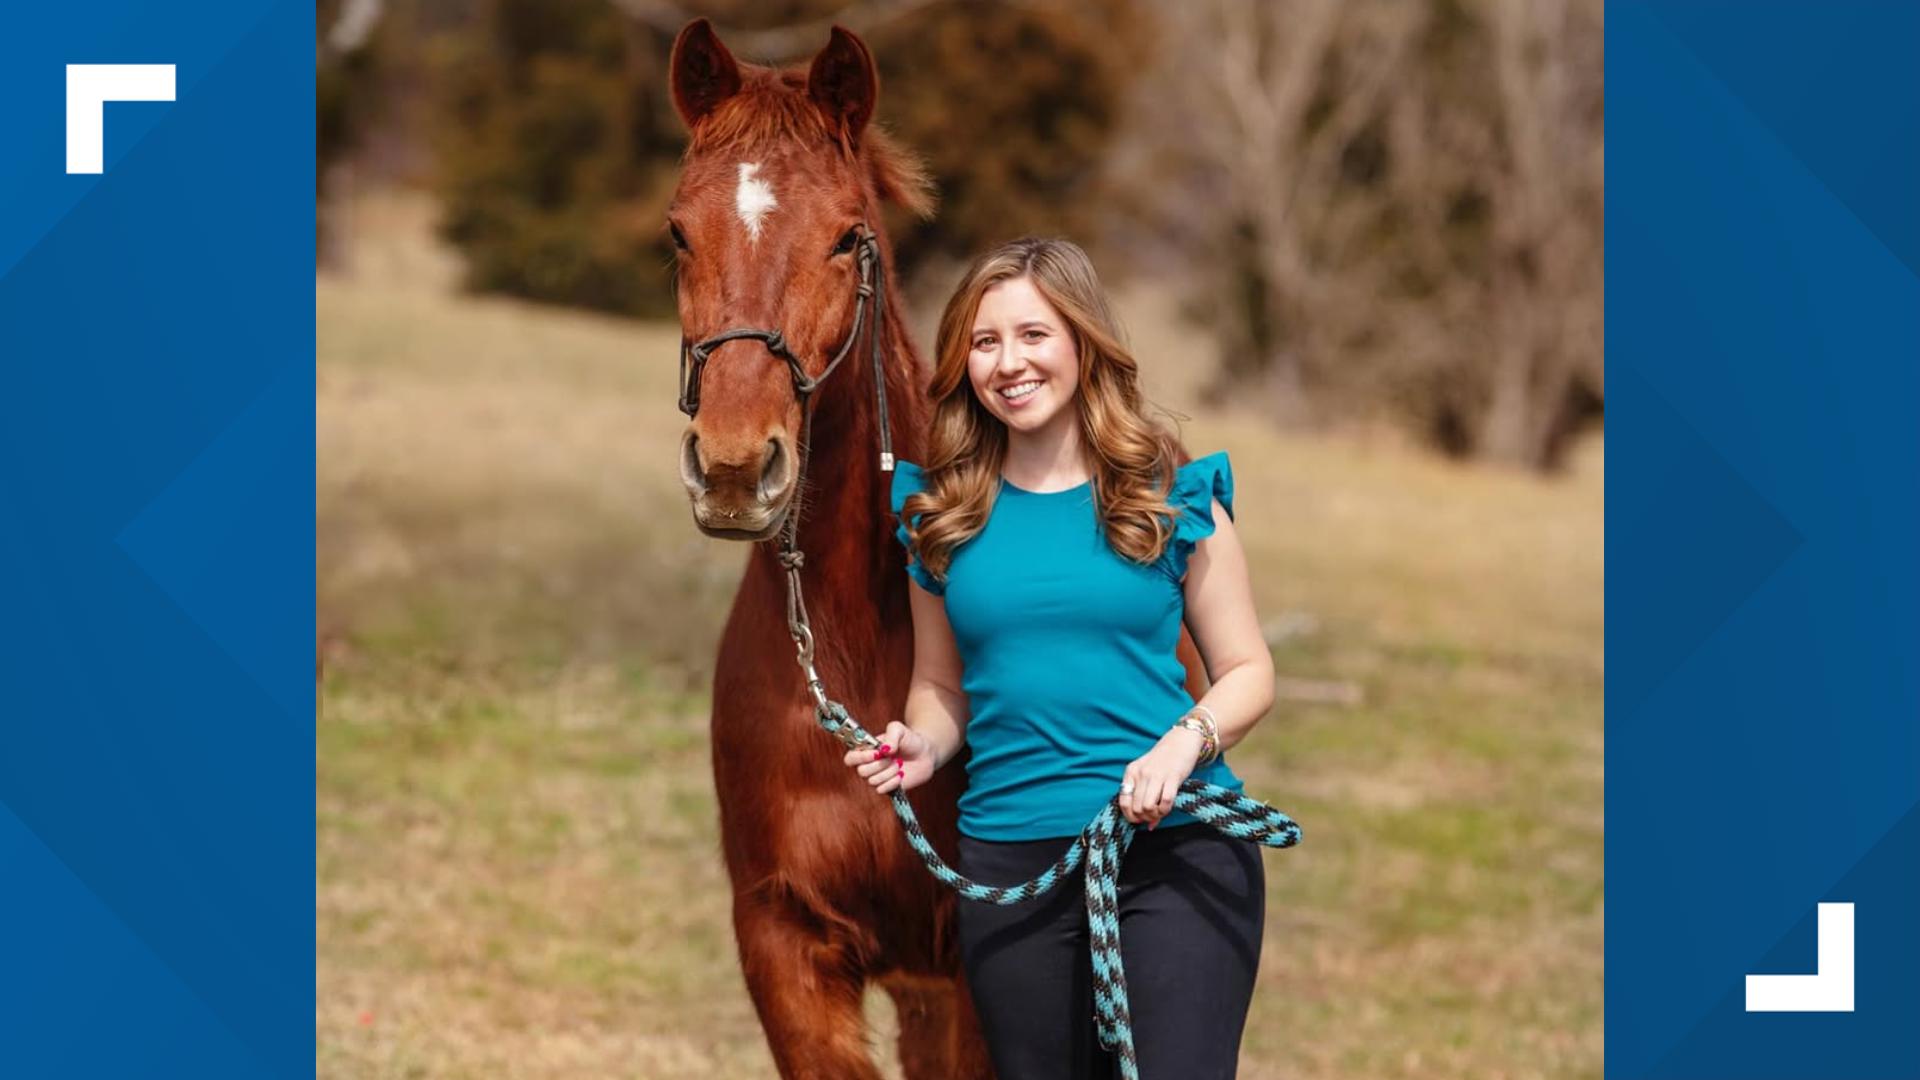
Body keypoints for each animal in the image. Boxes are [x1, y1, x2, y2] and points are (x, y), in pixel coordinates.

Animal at [665, 19, 1214, 1077]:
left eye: (850, 237)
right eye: (677, 230)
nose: (735, 466)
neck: (861, 637)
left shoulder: (972, 969)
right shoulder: (786, 945)